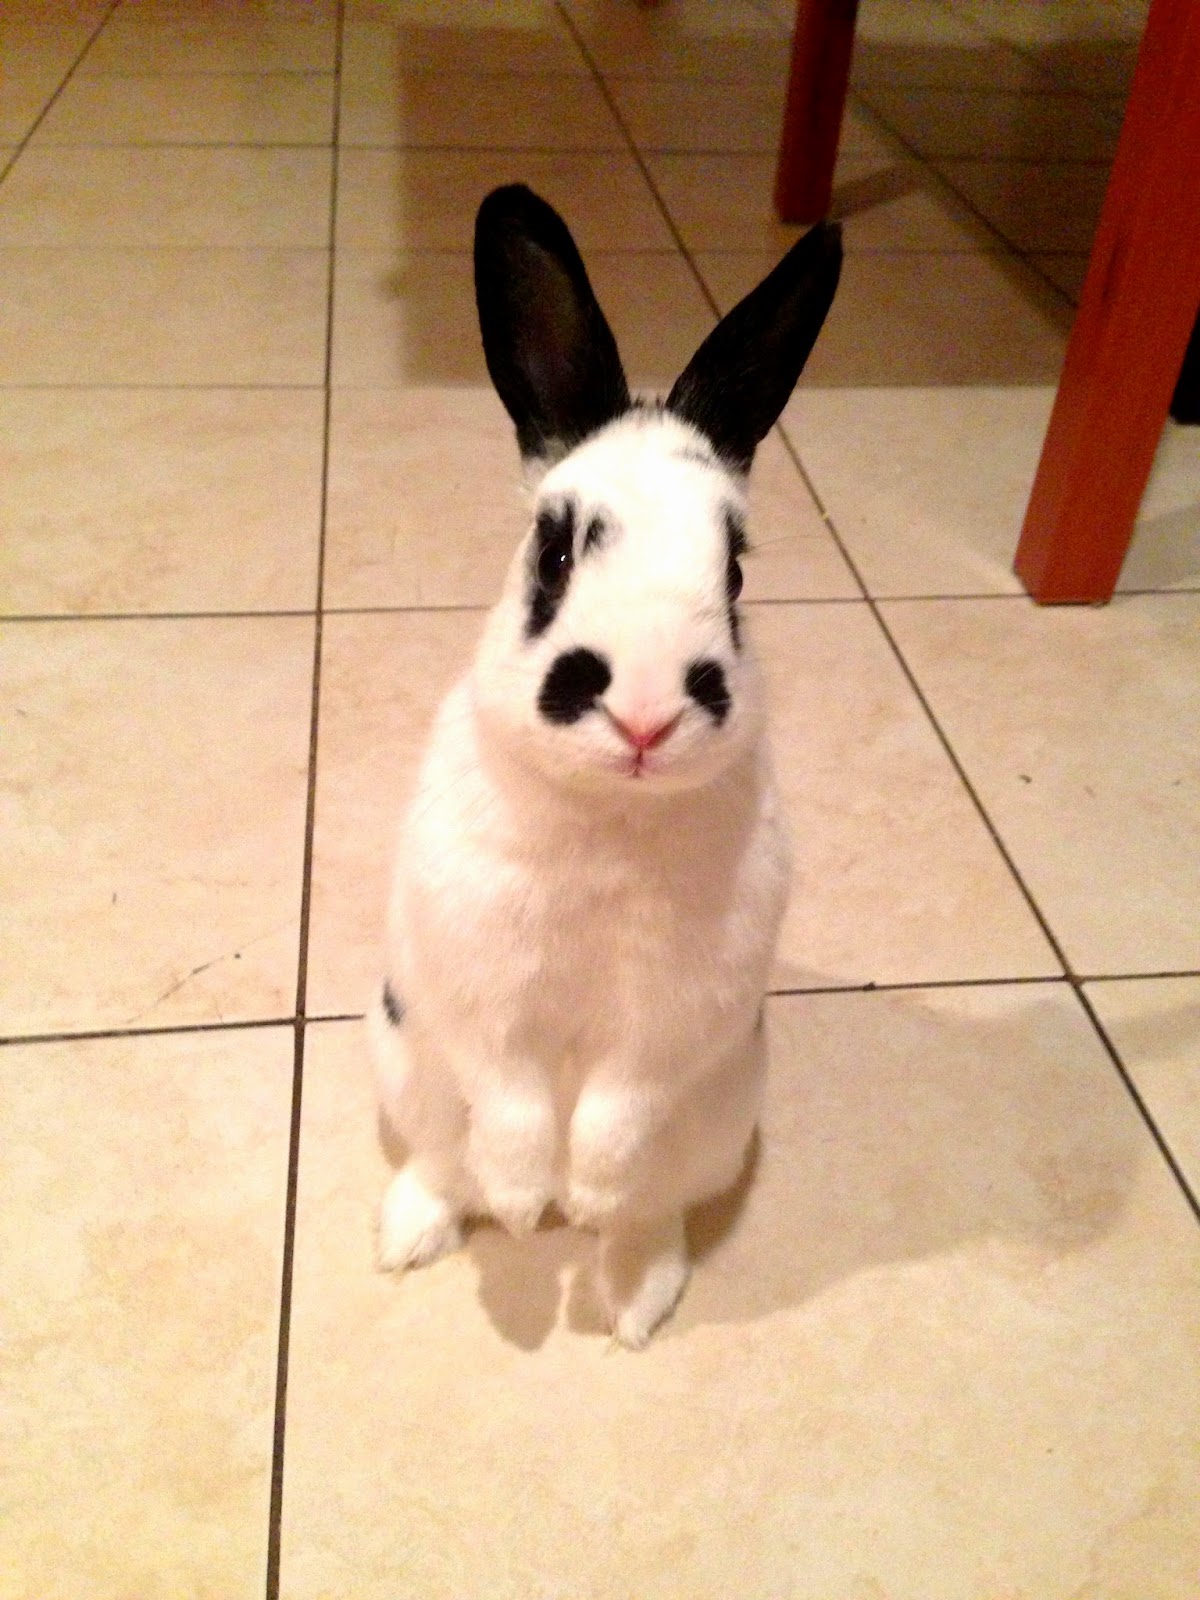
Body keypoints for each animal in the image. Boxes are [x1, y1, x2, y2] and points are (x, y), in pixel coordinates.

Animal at [369, 183, 842, 1348]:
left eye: (734, 569)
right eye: (555, 550)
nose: (644, 714)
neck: (607, 817)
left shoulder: (677, 1012)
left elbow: (620, 1106)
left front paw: (574, 1198)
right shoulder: (478, 973)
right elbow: (510, 1096)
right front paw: (525, 1200)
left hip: (720, 1115)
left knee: (653, 1206)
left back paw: (629, 1290)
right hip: (405, 1060)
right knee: (446, 1159)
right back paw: (421, 1229)